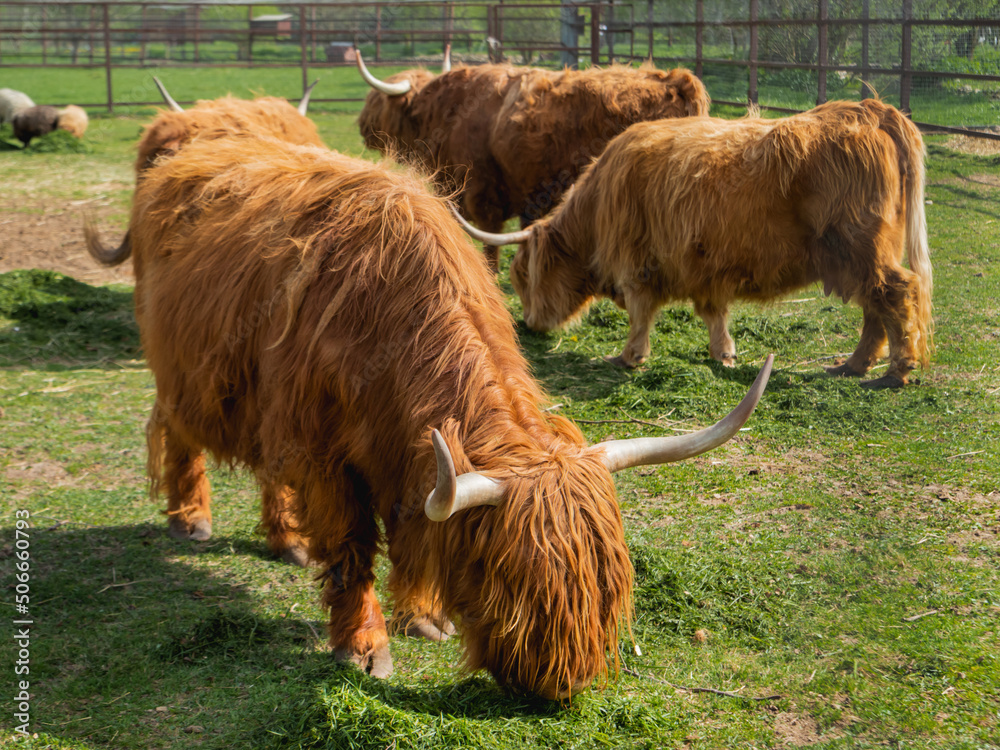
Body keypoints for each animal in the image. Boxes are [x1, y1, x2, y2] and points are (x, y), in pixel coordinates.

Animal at [102, 132, 771, 698]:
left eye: (610, 583)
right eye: (515, 580)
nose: (565, 685)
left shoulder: (401, 458)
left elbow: (415, 530)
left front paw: (424, 618)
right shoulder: (326, 456)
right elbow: (351, 550)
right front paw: (364, 648)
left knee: (270, 464)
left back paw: (287, 540)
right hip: (180, 367)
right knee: (175, 430)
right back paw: (191, 518)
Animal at [455, 99, 933, 389]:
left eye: (521, 276)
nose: (528, 325)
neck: (596, 208)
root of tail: (870, 109)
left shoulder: (637, 266)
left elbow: (641, 315)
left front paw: (628, 357)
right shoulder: (707, 270)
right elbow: (713, 314)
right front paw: (724, 355)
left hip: (859, 248)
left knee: (895, 295)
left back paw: (895, 372)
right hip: (864, 255)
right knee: (876, 307)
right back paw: (852, 366)